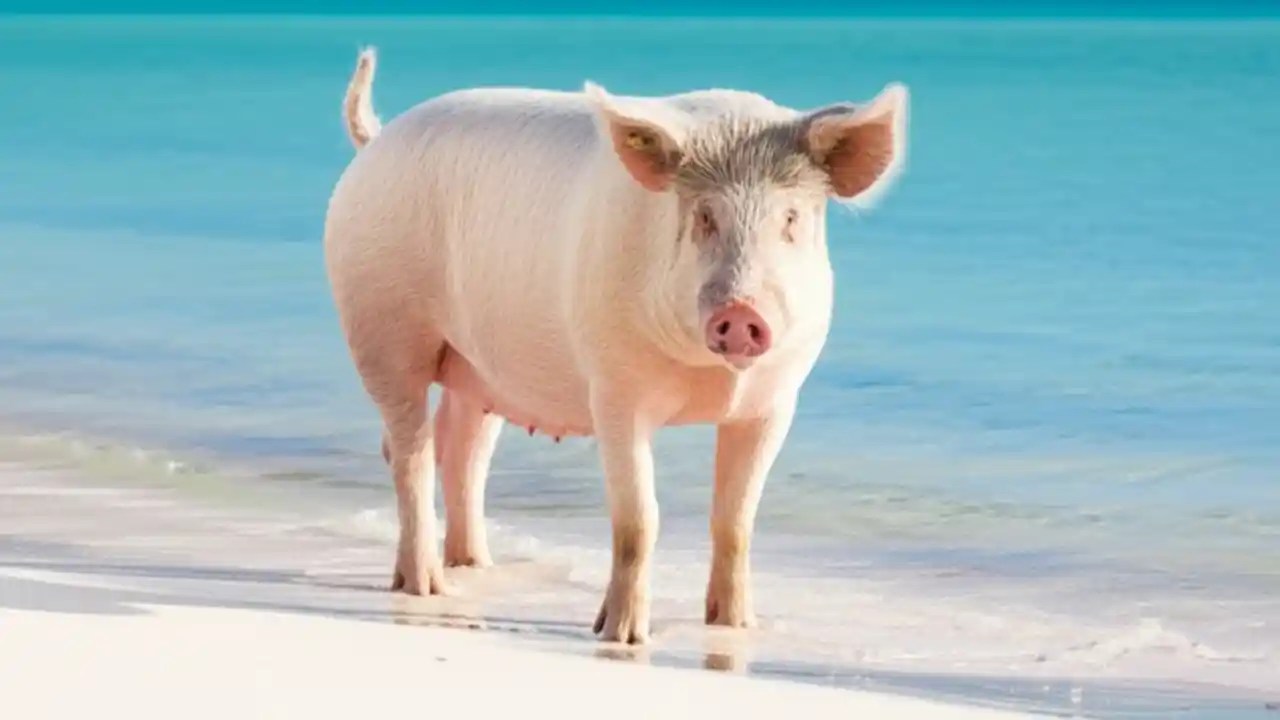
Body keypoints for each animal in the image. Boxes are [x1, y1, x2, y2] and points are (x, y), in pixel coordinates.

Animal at [324, 48, 908, 644]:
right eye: (704, 216)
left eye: (790, 219)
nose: (741, 313)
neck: (708, 377)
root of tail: (375, 142)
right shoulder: (614, 388)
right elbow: (638, 519)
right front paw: (620, 636)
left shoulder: (773, 402)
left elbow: (736, 520)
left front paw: (738, 626)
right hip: (380, 323)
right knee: (408, 451)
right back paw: (426, 587)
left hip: (477, 367)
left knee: (462, 450)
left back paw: (474, 565)